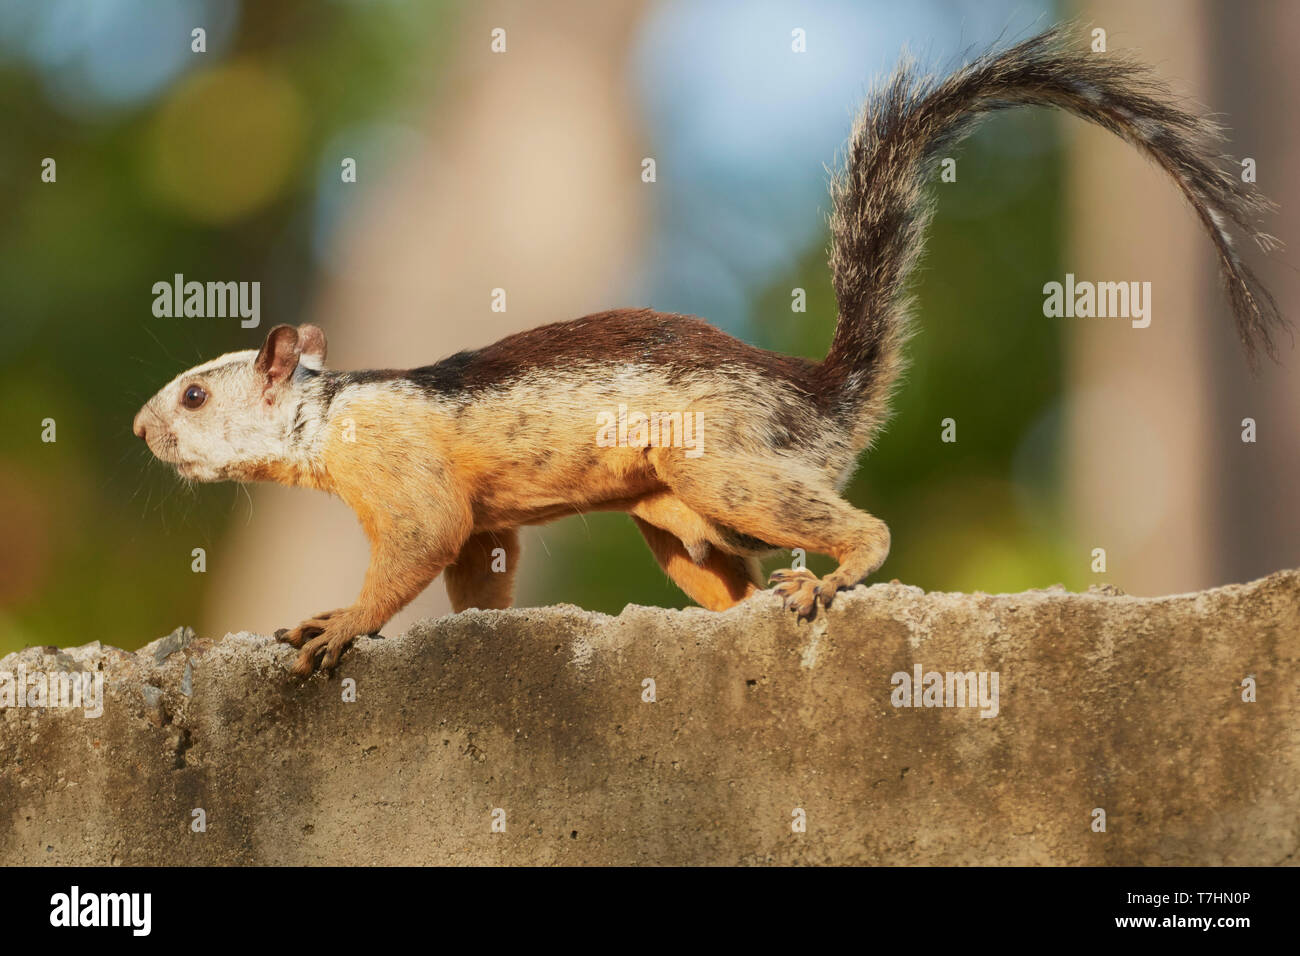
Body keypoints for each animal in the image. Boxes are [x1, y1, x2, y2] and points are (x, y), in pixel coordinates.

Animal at [134, 27, 1284, 676]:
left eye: (193, 395)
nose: (144, 428)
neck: (326, 418)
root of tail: (818, 397)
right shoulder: (484, 522)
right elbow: (477, 568)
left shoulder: (399, 465)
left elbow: (418, 543)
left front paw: (336, 627)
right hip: (677, 519)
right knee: (732, 574)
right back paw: (751, 612)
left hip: (719, 464)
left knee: (846, 526)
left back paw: (833, 578)